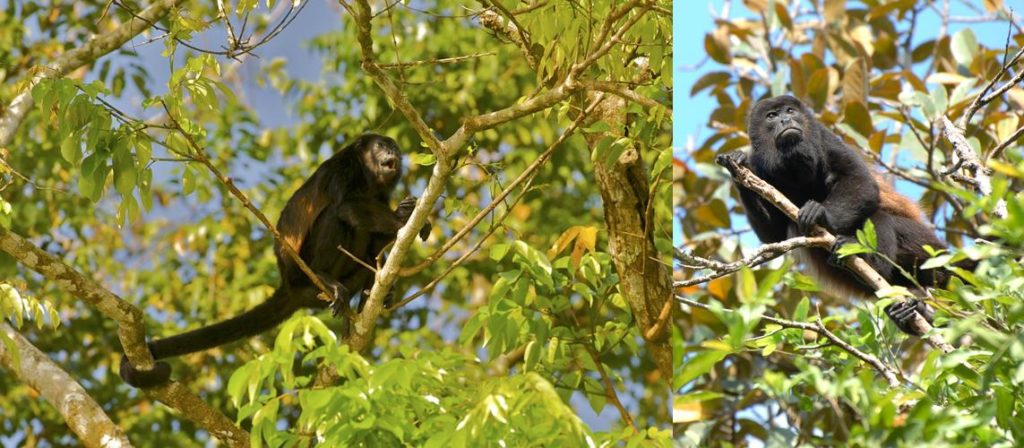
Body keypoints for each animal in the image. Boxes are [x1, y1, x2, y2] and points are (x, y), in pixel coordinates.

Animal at [119, 133, 430, 388]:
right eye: (381, 146)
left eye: (394, 148)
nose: (393, 153)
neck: (368, 175)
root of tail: (288, 283)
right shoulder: (343, 168)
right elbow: (348, 206)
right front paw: (403, 220)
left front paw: (404, 214)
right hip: (301, 271)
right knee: (335, 215)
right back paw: (325, 279)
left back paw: (372, 292)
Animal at [716, 95, 965, 336]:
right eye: (771, 116)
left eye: (789, 111)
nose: (786, 120)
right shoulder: (760, 166)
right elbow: (773, 236)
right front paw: (738, 164)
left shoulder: (826, 138)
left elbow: (861, 182)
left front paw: (820, 214)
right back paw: (908, 312)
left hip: (929, 247)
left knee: (880, 218)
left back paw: (870, 263)